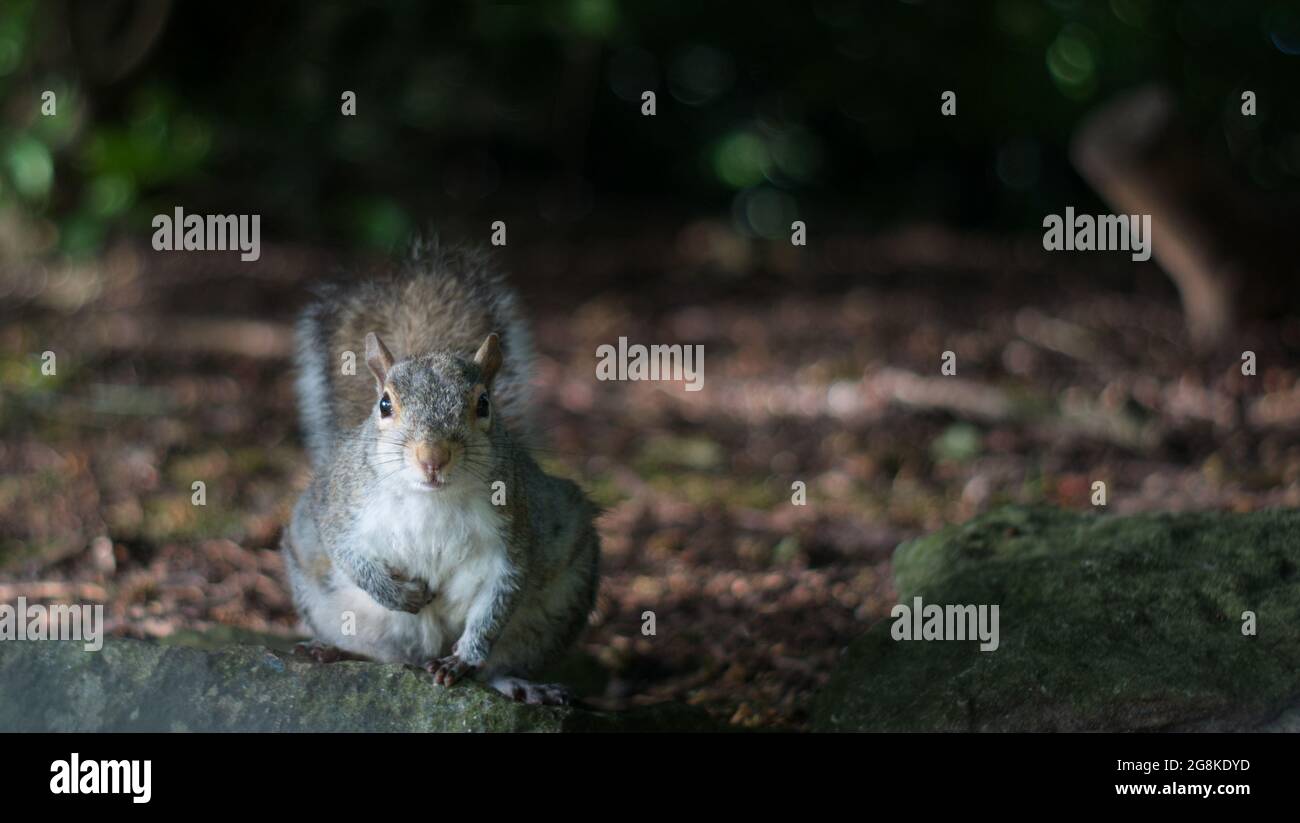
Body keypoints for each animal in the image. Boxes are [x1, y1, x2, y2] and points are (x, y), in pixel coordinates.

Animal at [282, 241, 600, 705]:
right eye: (384, 404)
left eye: (484, 404)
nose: (432, 457)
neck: (430, 498)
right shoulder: (338, 508)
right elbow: (348, 553)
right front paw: (400, 593)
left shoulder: (514, 531)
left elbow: (499, 599)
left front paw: (463, 659)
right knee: (383, 653)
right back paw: (331, 651)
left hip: (558, 602)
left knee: (500, 663)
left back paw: (520, 684)